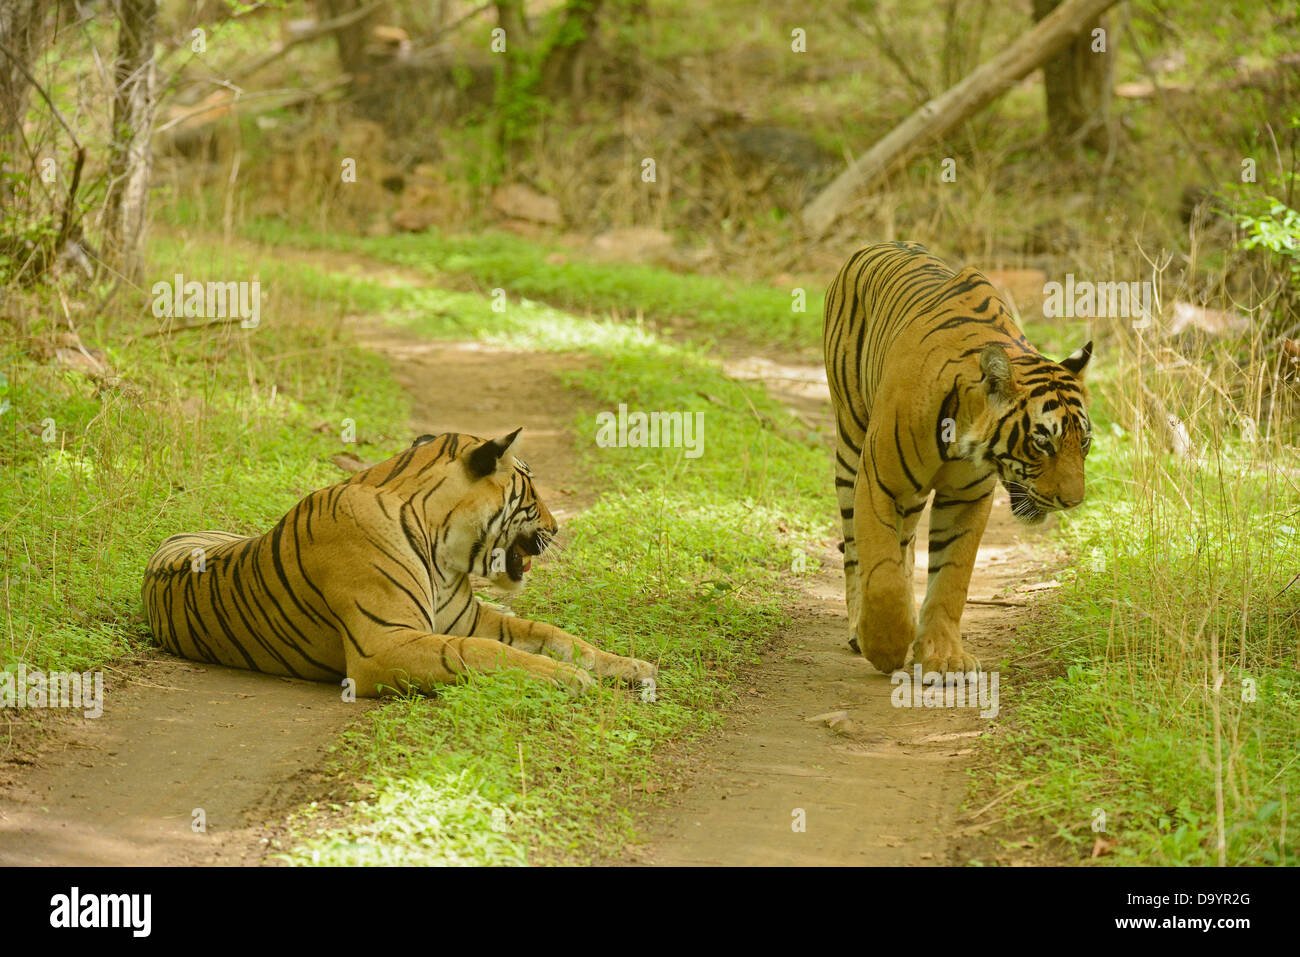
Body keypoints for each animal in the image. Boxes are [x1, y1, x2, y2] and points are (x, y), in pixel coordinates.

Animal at [141, 430, 657, 696]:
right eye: (531, 488)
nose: (557, 527)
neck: (445, 545)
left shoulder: (468, 620)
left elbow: (553, 635)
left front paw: (631, 666)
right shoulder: (384, 645)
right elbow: (485, 653)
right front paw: (569, 678)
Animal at [823, 242, 1092, 679]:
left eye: (1083, 443)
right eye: (1043, 443)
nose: (1073, 502)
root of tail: (875, 244)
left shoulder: (967, 498)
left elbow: (951, 577)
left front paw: (943, 656)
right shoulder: (879, 480)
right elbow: (880, 567)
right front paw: (885, 645)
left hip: (911, 494)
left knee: (906, 543)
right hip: (850, 441)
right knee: (854, 548)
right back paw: (858, 629)